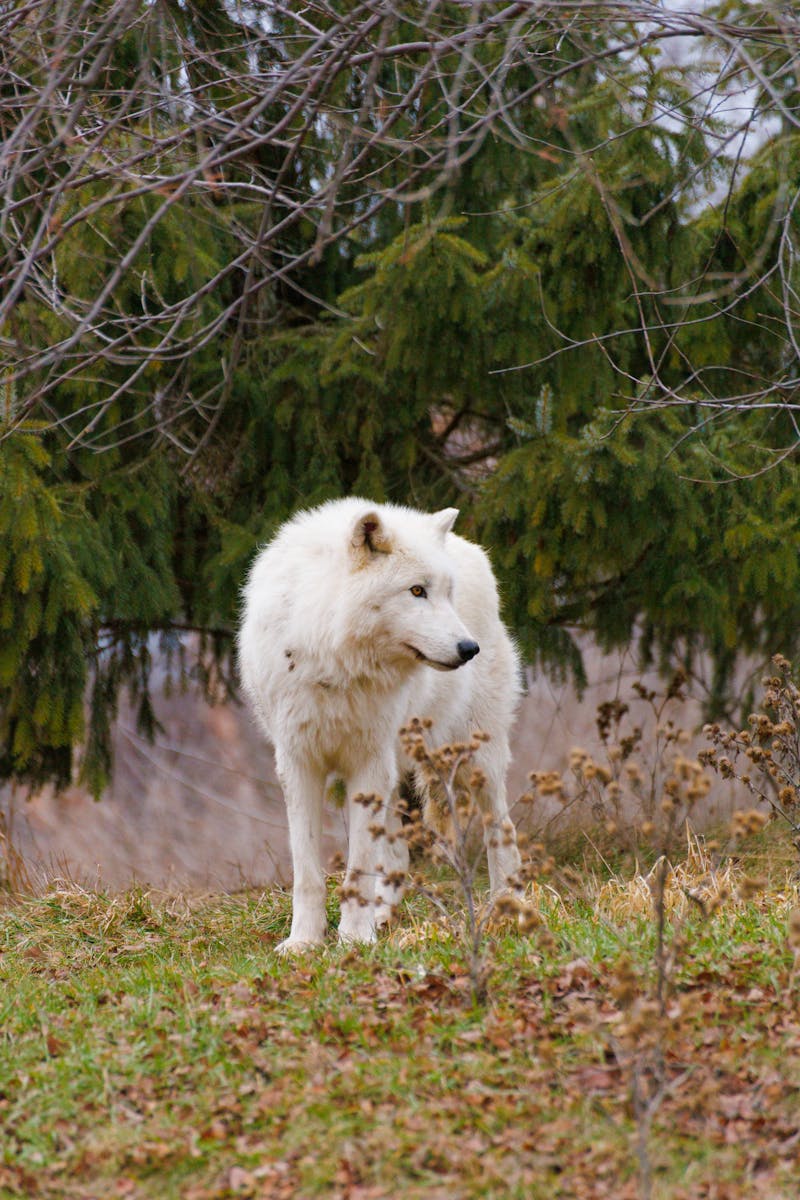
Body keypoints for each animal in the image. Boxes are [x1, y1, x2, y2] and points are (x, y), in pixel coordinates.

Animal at [237, 497, 522, 952]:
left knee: (503, 827)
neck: (333, 660)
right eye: (417, 590)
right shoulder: (298, 764)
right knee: (399, 857)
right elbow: (307, 871)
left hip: (474, 759)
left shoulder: (368, 764)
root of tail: (473, 549)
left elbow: (358, 864)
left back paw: (507, 909)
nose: (469, 648)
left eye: (447, 593)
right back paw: (384, 915)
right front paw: (304, 943)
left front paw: (354, 940)